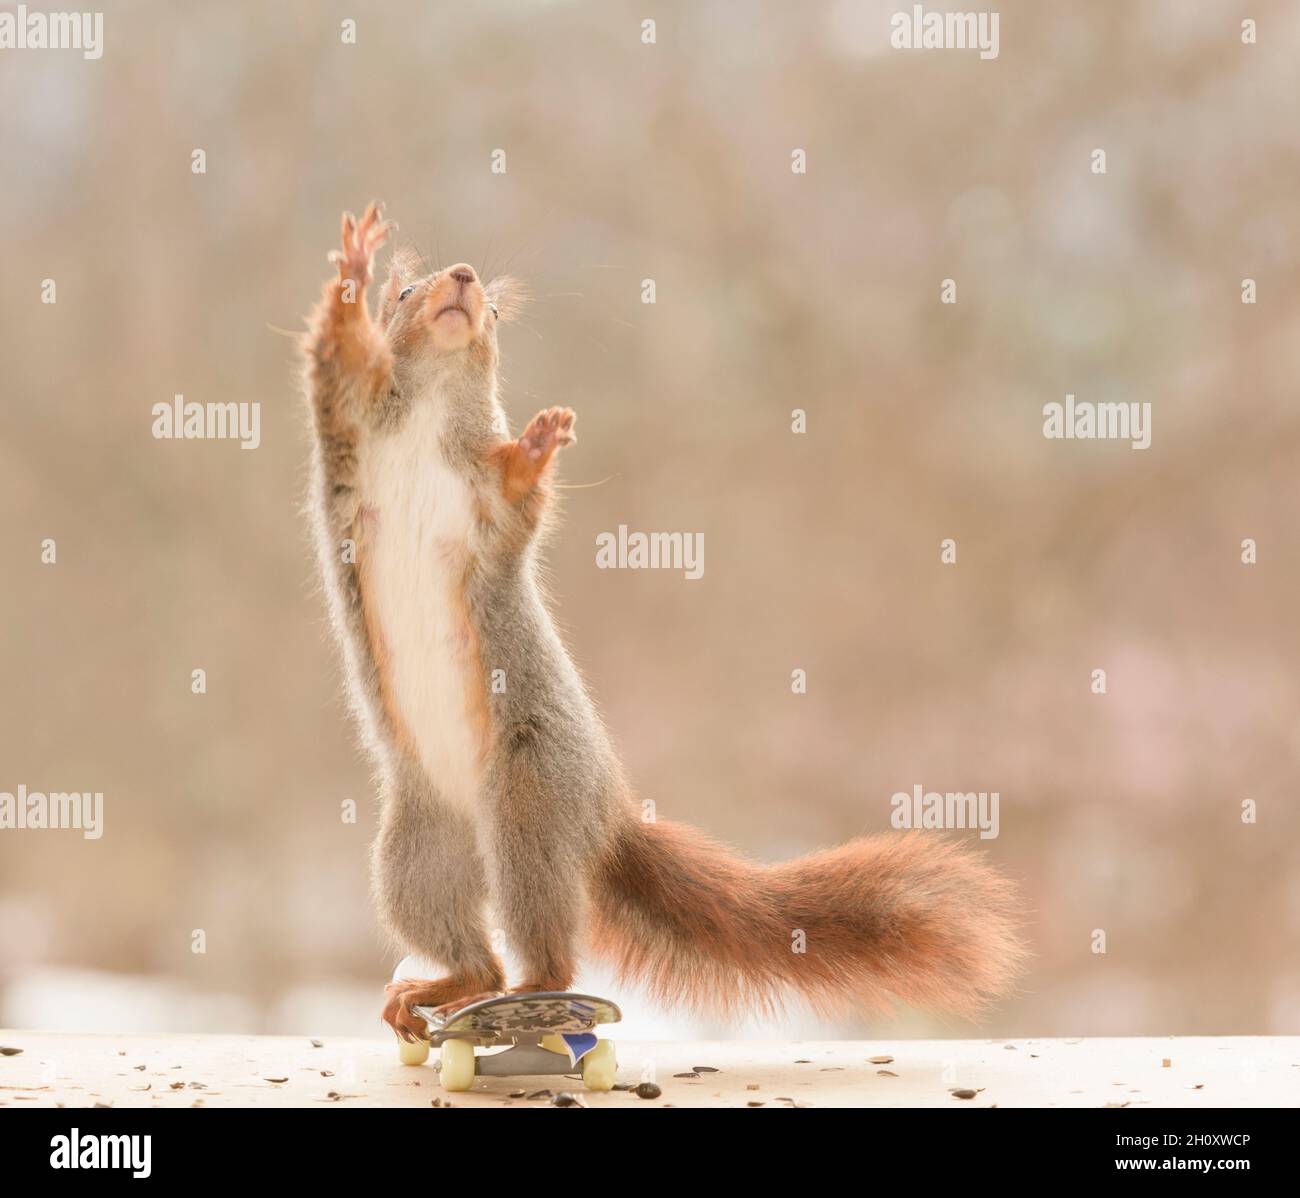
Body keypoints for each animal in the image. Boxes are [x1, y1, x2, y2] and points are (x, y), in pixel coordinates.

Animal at [300, 202, 1025, 1041]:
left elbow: (518, 498)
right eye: (405, 290)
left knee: (536, 948)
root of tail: (609, 816)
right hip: (418, 854)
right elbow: (336, 352)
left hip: (530, 806)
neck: (428, 410)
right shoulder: (347, 419)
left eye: (492, 308)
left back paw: (513, 990)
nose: (463, 280)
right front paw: (353, 268)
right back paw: (439, 988)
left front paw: (539, 442)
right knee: (471, 949)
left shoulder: (487, 505)